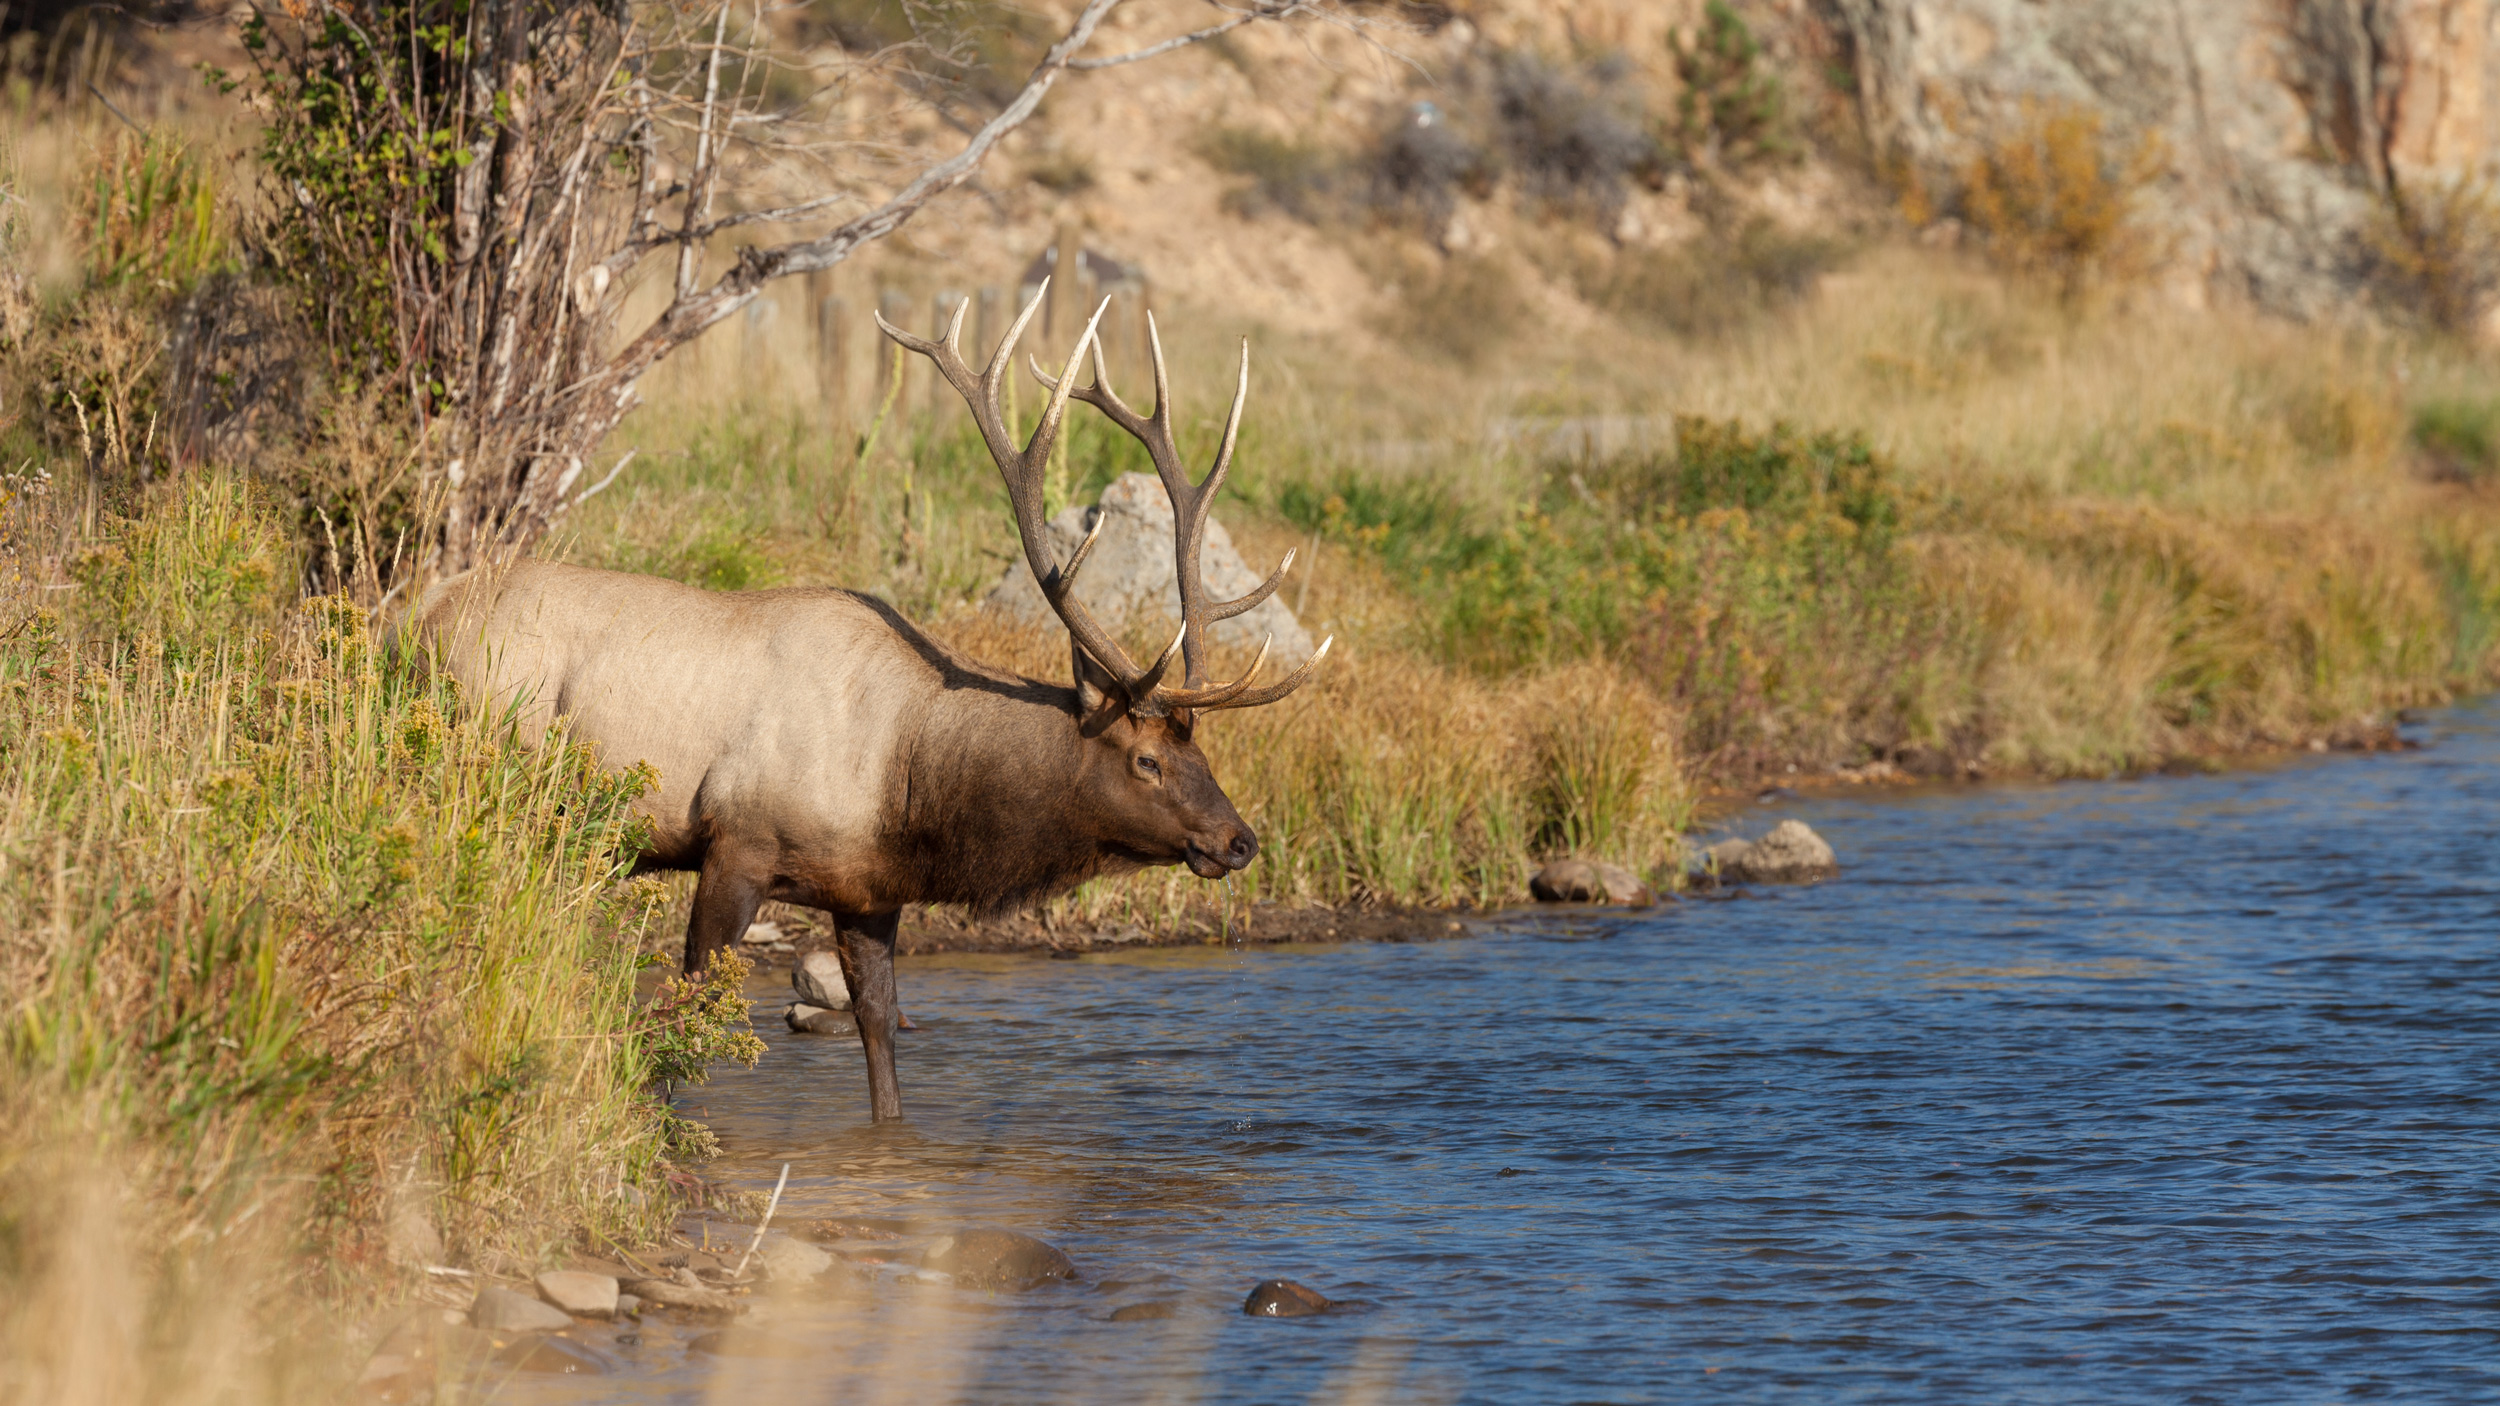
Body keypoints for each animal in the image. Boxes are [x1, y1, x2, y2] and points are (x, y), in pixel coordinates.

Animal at [412, 283, 1328, 1122]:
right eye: (1146, 760)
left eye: (1199, 749)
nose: (1239, 840)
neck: (909, 787)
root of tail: (415, 616)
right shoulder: (737, 843)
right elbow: (689, 1007)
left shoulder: (868, 892)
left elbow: (882, 1034)